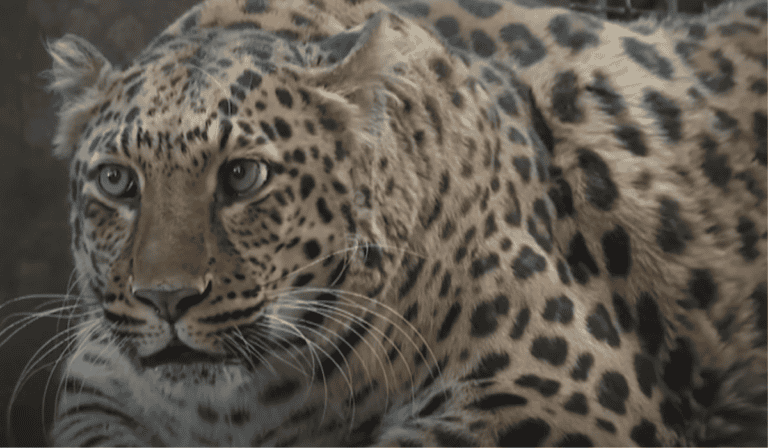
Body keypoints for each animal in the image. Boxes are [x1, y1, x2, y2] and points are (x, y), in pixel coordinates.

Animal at [29, 0, 767, 445]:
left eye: (242, 176)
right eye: (117, 182)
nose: (166, 299)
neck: (240, 406)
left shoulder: (570, 396)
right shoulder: (98, 386)